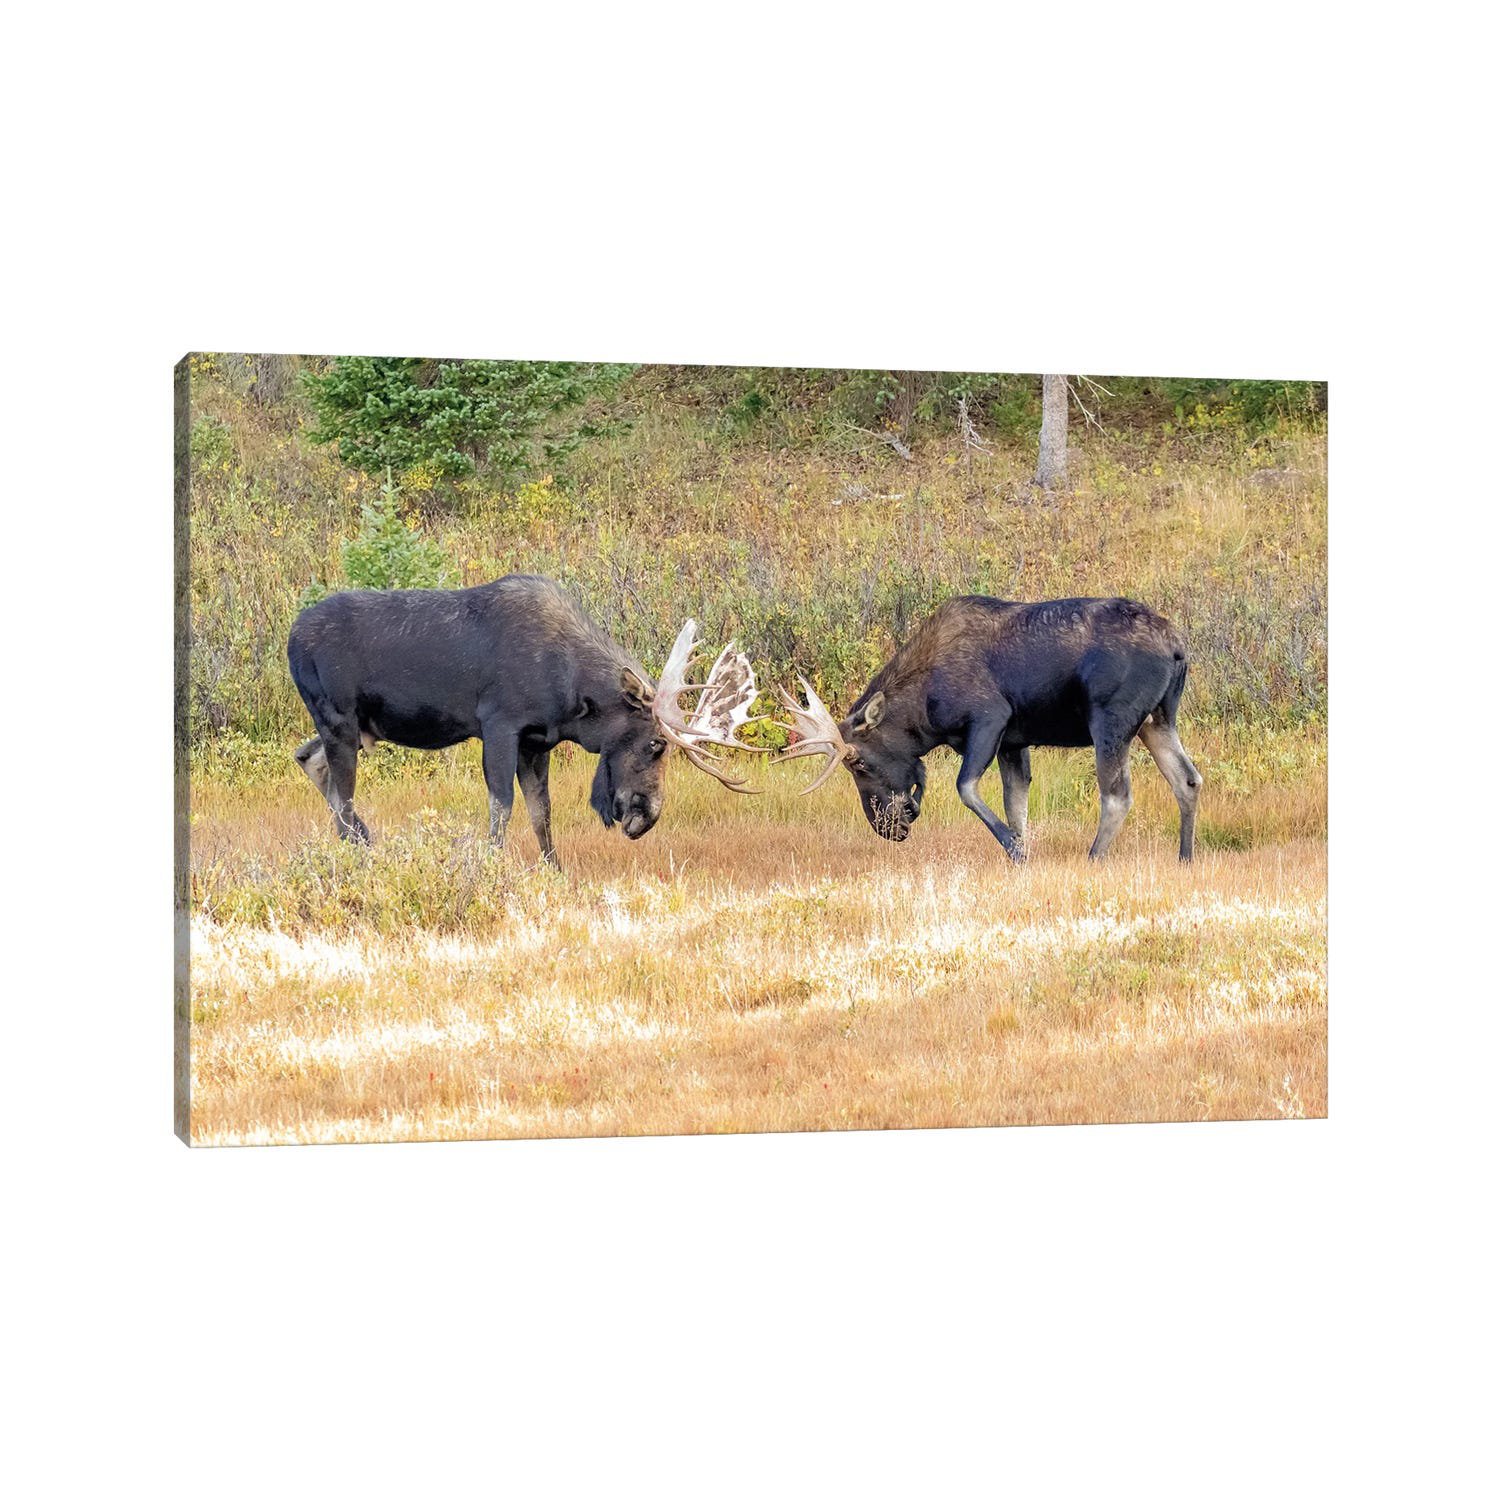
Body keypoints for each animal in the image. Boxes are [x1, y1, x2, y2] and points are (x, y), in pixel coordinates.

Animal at [286, 575, 762, 865]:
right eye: (655, 744)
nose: (646, 816)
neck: (573, 697)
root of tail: (291, 639)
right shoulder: (499, 725)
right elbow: (502, 807)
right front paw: (491, 867)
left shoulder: (537, 741)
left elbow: (541, 812)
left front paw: (555, 873)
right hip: (337, 719)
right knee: (343, 795)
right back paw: (359, 855)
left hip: (353, 728)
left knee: (310, 760)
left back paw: (366, 845)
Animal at [774, 595, 1203, 861]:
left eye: (859, 763)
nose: (886, 827)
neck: (922, 709)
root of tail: (1177, 647)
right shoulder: (1015, 741)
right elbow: (1016, 803)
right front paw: (1022, 853)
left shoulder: (989, 719)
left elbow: (966, 788)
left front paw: (1014, 847)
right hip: (1158, 721)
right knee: (1188, 779)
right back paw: (1185, 858)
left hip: (1111, 720)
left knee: (1117, 795)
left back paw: (1094, 857)